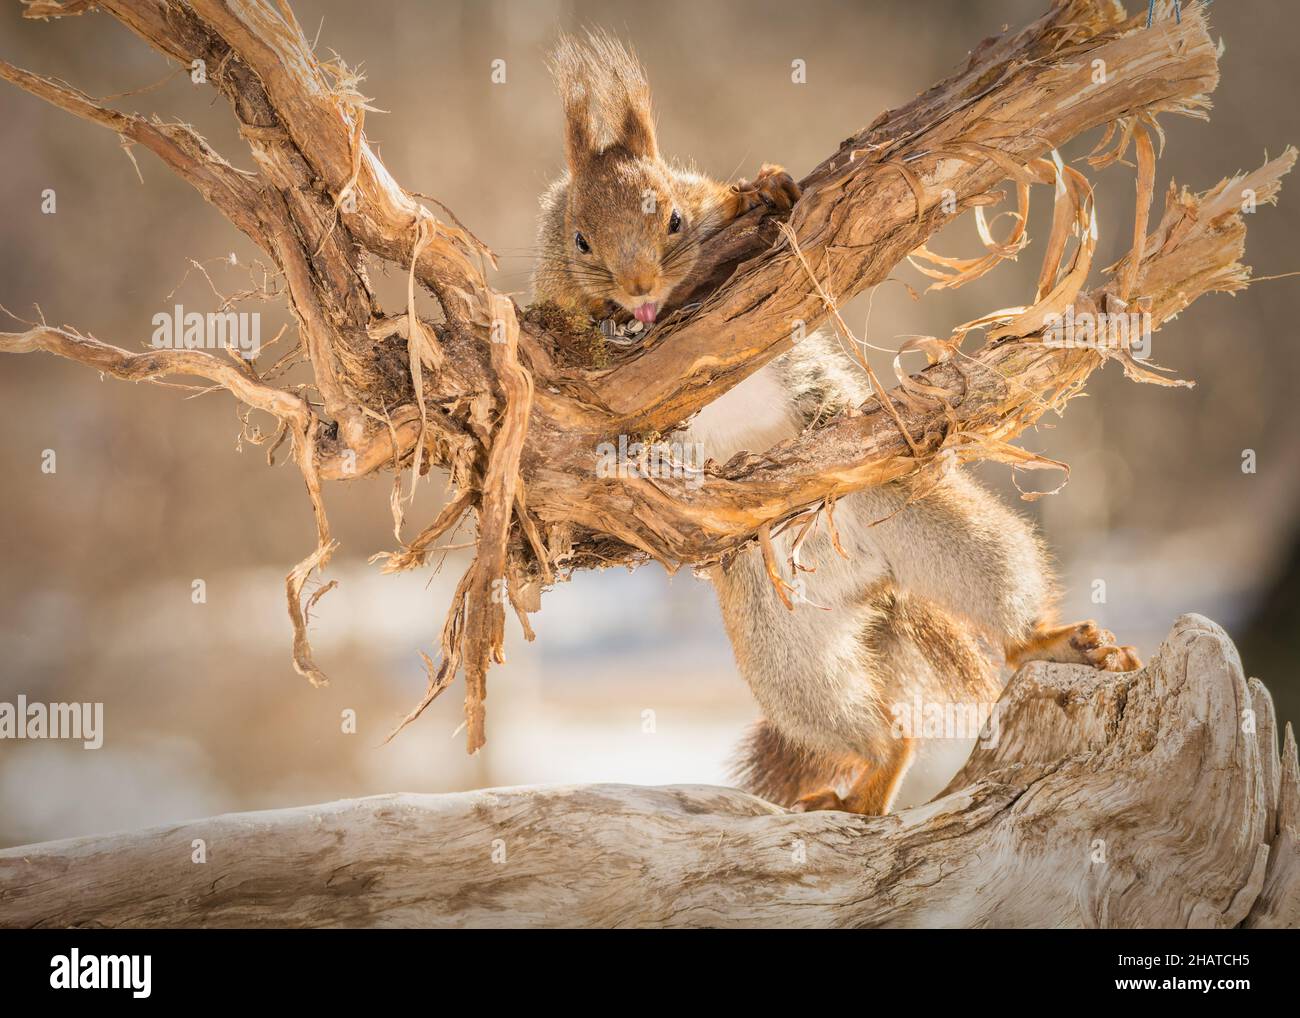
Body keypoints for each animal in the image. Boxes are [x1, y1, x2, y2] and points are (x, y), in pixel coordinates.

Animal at [531, 32, 1141, 815]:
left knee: (1001, 612)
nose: (637, 290)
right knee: (880, 731)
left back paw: (1050, 644)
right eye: (579, 240)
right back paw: (865, 787)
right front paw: (612, 323)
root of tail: (868, 587)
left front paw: (763, 189)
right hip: (783, 644)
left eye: (672, 217)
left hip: (925, 516)